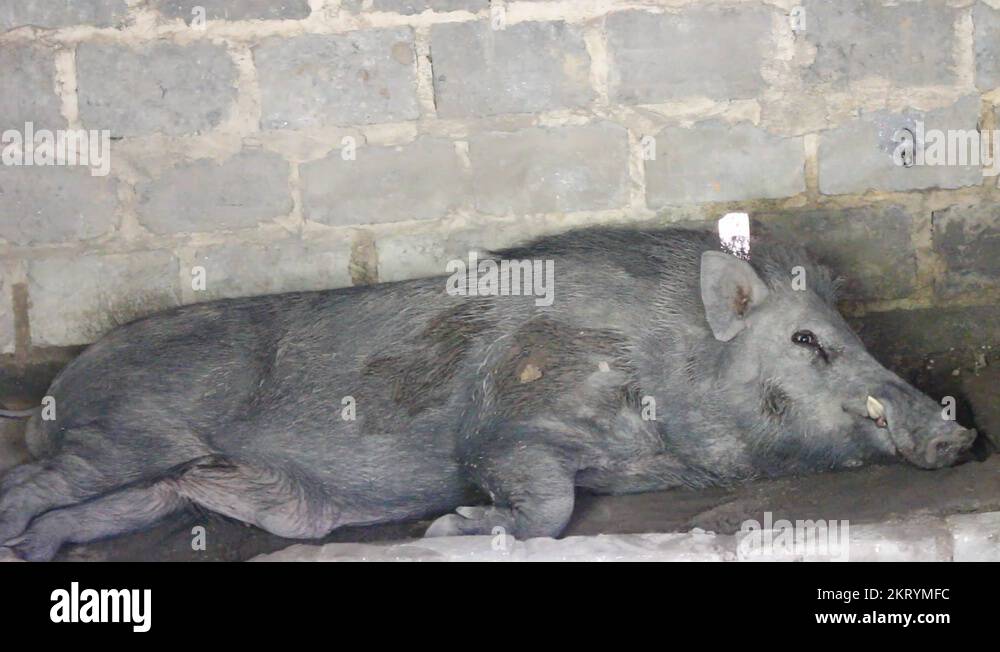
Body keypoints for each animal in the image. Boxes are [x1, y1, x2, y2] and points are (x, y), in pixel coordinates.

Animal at [0, 226, 978, 560]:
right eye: (806, 340)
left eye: (853, 332)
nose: (960, 434)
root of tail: (64, 380)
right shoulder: (510, 429)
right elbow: (544, 502)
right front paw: (449, 527)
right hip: (123, 438)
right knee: (30, 486)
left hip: (161, 482)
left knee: (82, 513)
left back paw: (39, 551)